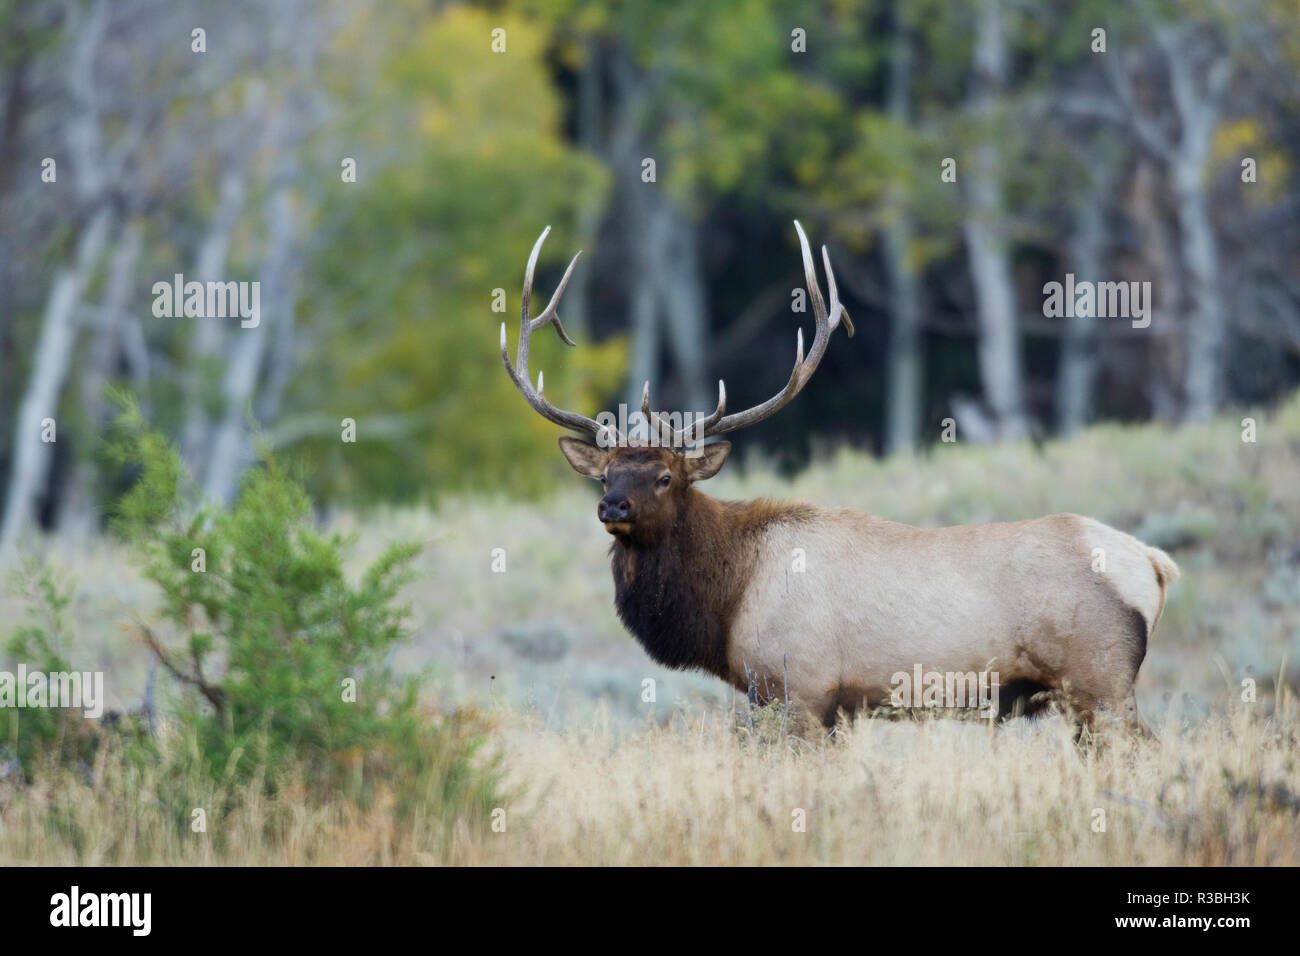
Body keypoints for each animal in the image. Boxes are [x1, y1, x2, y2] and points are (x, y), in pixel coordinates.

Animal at [500, 222, 1180, 735]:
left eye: (667, 476)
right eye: (606, 475)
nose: (613, 508)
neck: (728, 603)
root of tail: (1153, 564)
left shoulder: (798, 687)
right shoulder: (833, 708)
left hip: (1099, 679)